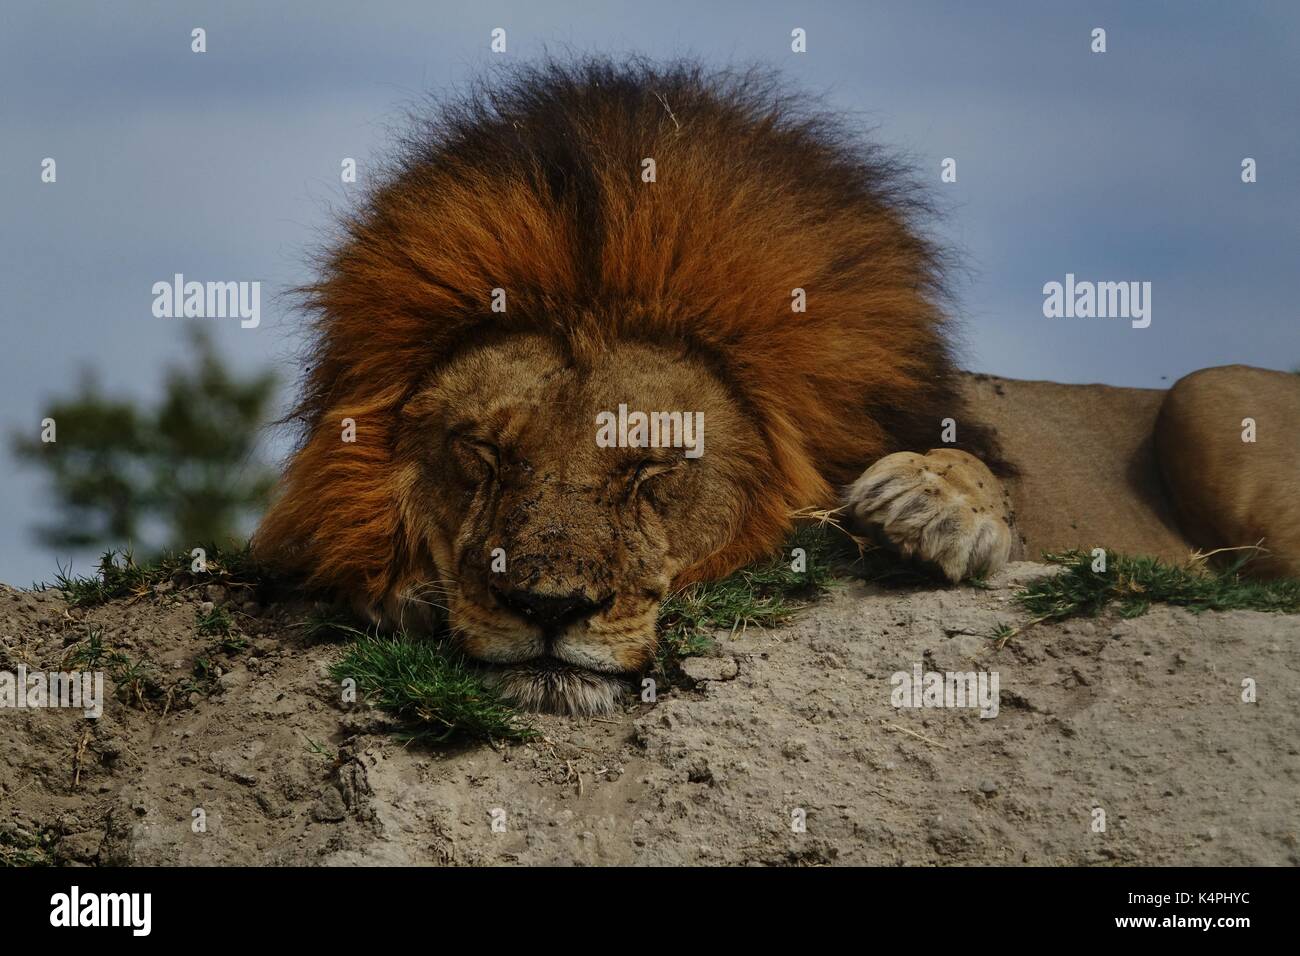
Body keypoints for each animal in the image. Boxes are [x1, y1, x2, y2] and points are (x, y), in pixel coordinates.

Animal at [254, 59, 1298, 715]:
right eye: (482, 455)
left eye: (653, 468)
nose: (549, 612)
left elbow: (980, 472)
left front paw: (930, 506)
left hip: (1208, 396)